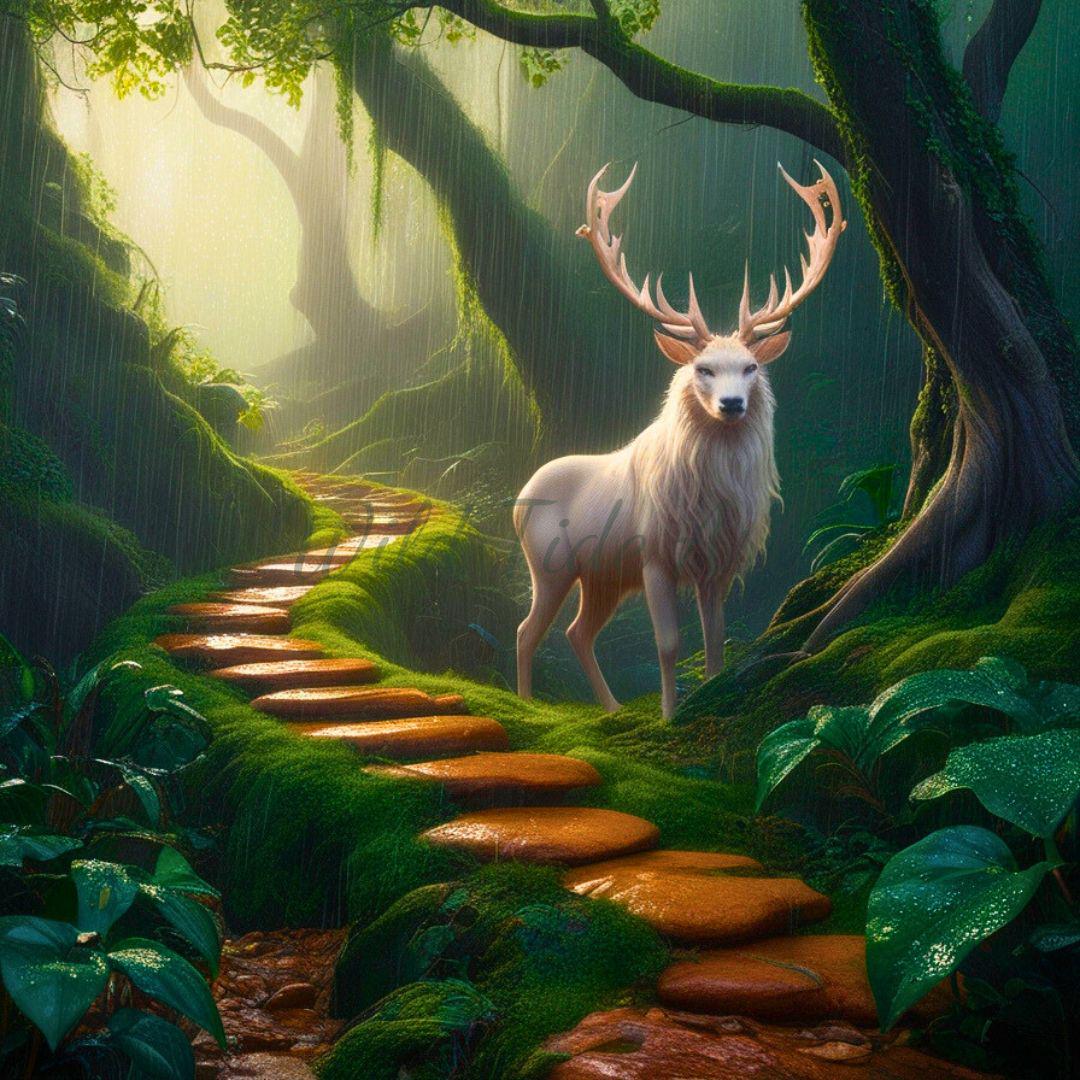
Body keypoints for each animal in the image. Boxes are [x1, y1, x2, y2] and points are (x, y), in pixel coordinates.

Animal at [514, 160, 845, 719]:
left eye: (751, 367)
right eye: (702, 369)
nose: (732, 404)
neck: (712, 497)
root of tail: (517, 501)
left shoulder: (718, 563)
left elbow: (715, 641)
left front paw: (710, 698)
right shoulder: (655, 556)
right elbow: (668, 644)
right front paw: (670, 716)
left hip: (603, 576)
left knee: (578, 632)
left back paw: (614, 708)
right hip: (552, 565)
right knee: (526, 630)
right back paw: (526, 703)